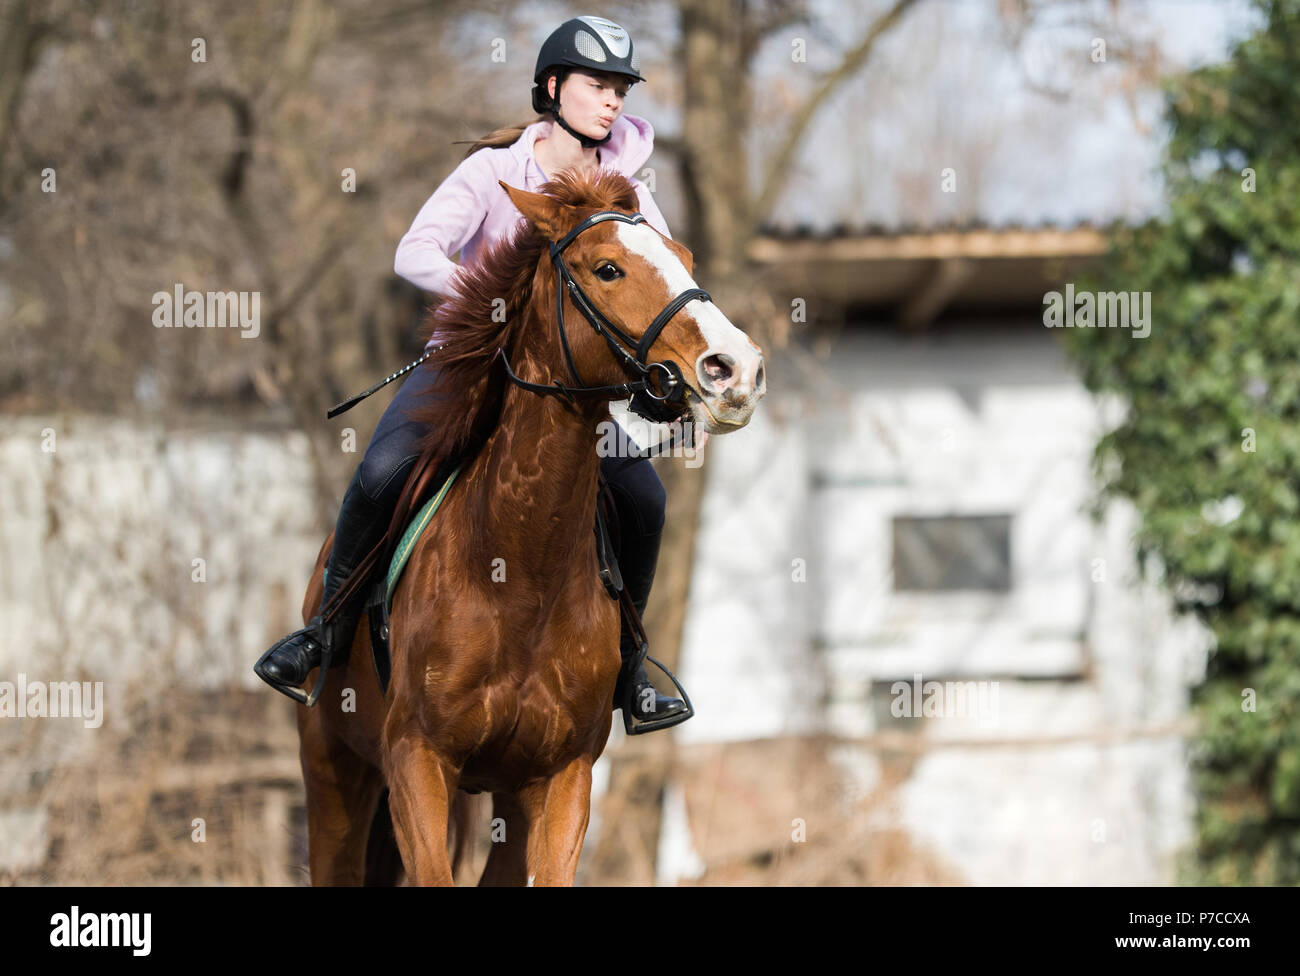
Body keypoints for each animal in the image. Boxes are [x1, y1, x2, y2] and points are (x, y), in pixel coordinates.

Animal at [292, 168, 766, 885]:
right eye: (607, 268)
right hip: (334, 779)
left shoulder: (560, 778)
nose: (735, 368)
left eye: (683, 257)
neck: (516, 571)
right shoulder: (417, 763)